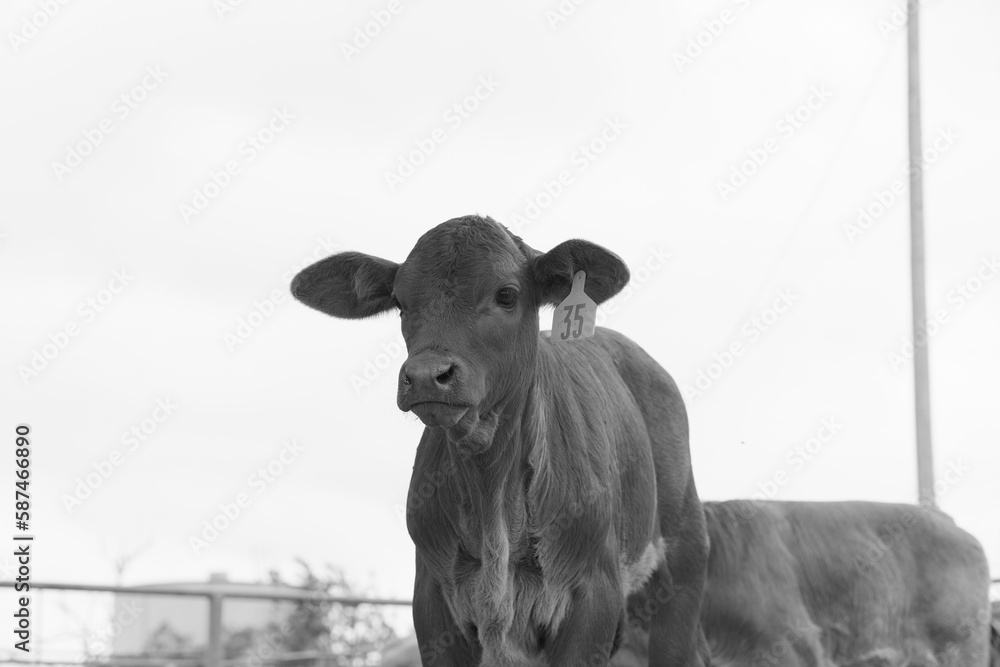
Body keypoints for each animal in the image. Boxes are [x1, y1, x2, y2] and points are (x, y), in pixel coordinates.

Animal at [291, 215, 710, 666]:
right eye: (401, 303)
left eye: (506, 295)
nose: (425, 375)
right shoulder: (432, 599)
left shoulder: (594, 595)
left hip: (682, 574)